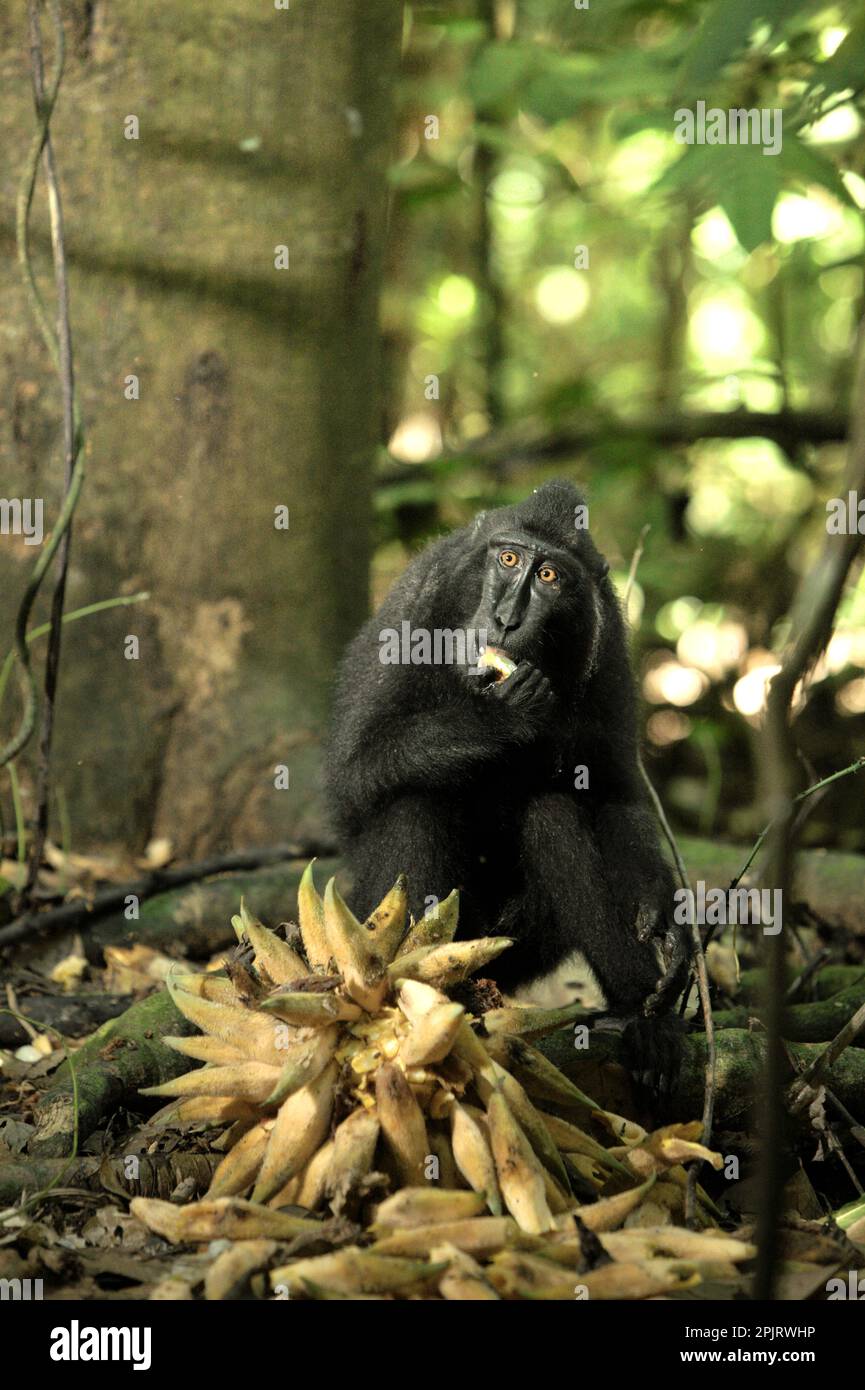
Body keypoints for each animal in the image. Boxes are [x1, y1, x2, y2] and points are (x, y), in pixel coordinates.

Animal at [326, 480, 689, 1076]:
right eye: (509, 558)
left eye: (549, 576)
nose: (505, 620)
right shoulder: (416, 596)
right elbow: (352, 775)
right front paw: (503, 716)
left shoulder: (607, 640)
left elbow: (612, 794)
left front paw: (661, 918)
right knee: (415, 800)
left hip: (511, 949)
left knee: (553, 814)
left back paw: (640, 1015)